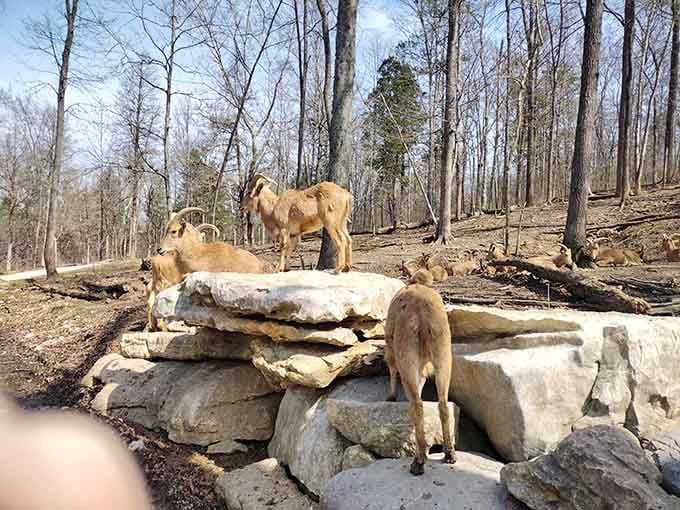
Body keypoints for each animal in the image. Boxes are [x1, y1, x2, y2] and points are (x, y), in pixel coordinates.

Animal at [384, 267, 455, 475]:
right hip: (443, 356)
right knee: (443, 404)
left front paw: (391, 396)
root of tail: (422, 315)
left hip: (406, 357)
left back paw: (418, 461)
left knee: (417, 405)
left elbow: (392, 369)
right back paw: (449, 453)